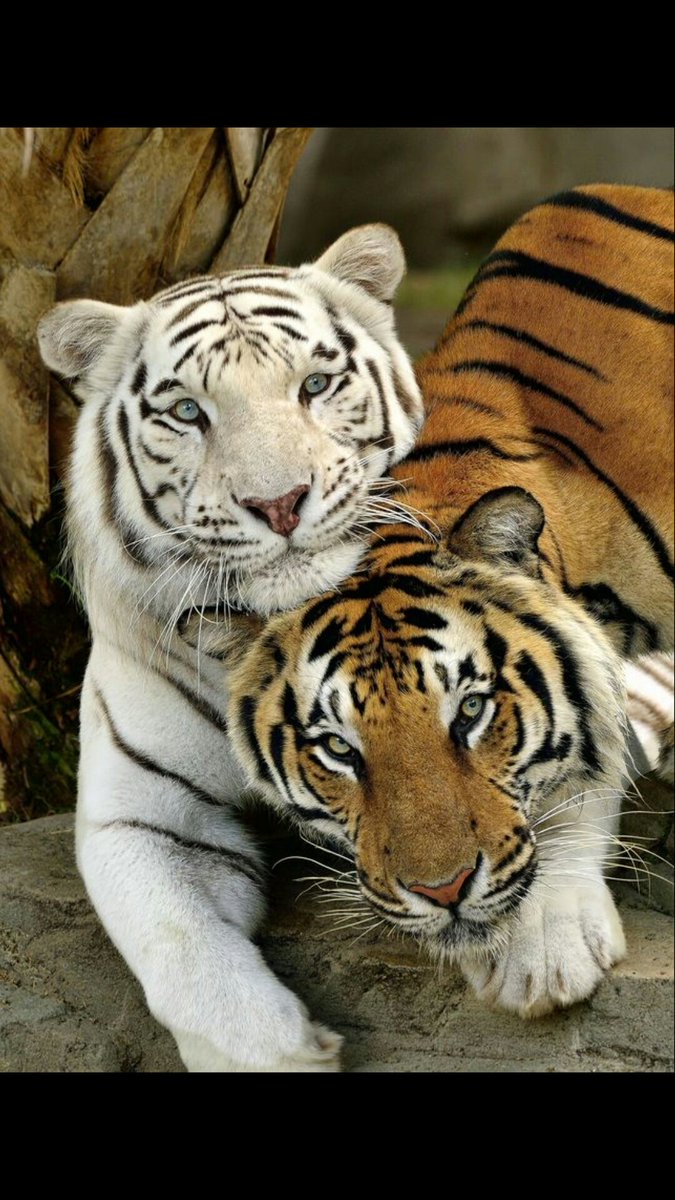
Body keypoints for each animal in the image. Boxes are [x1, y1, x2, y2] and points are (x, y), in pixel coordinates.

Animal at [36, 225, 424, 1073]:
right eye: (188, 411)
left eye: (315, 384)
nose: (278, 502)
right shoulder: (145, 814)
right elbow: (178, 945)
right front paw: (278, 1051)